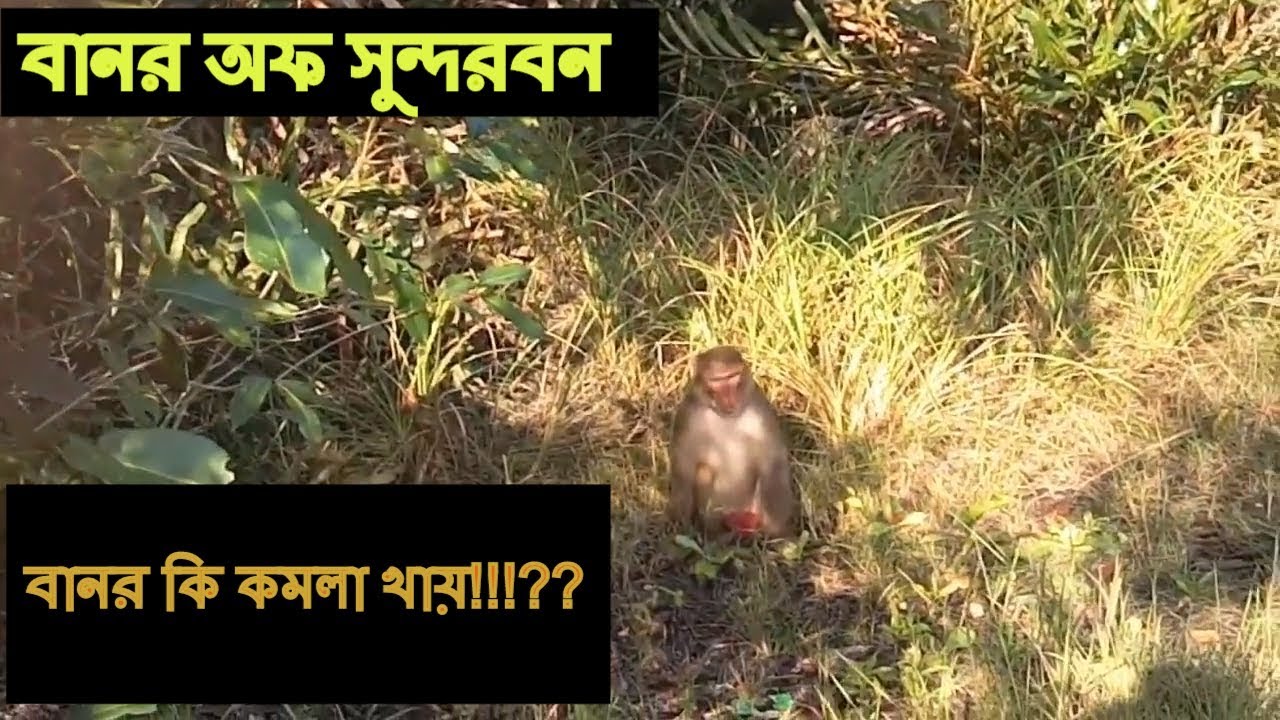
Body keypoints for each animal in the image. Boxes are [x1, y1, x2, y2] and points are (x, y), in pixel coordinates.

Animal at [666, 345, 796, 541]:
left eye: (732, 376)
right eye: (717, 380)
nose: (729, 398)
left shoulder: (759, 409)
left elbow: (773, 461)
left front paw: (776, 531)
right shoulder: (688, 413)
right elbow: (683, 465)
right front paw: (681, 524)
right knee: (704, 470)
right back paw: (713, 530)